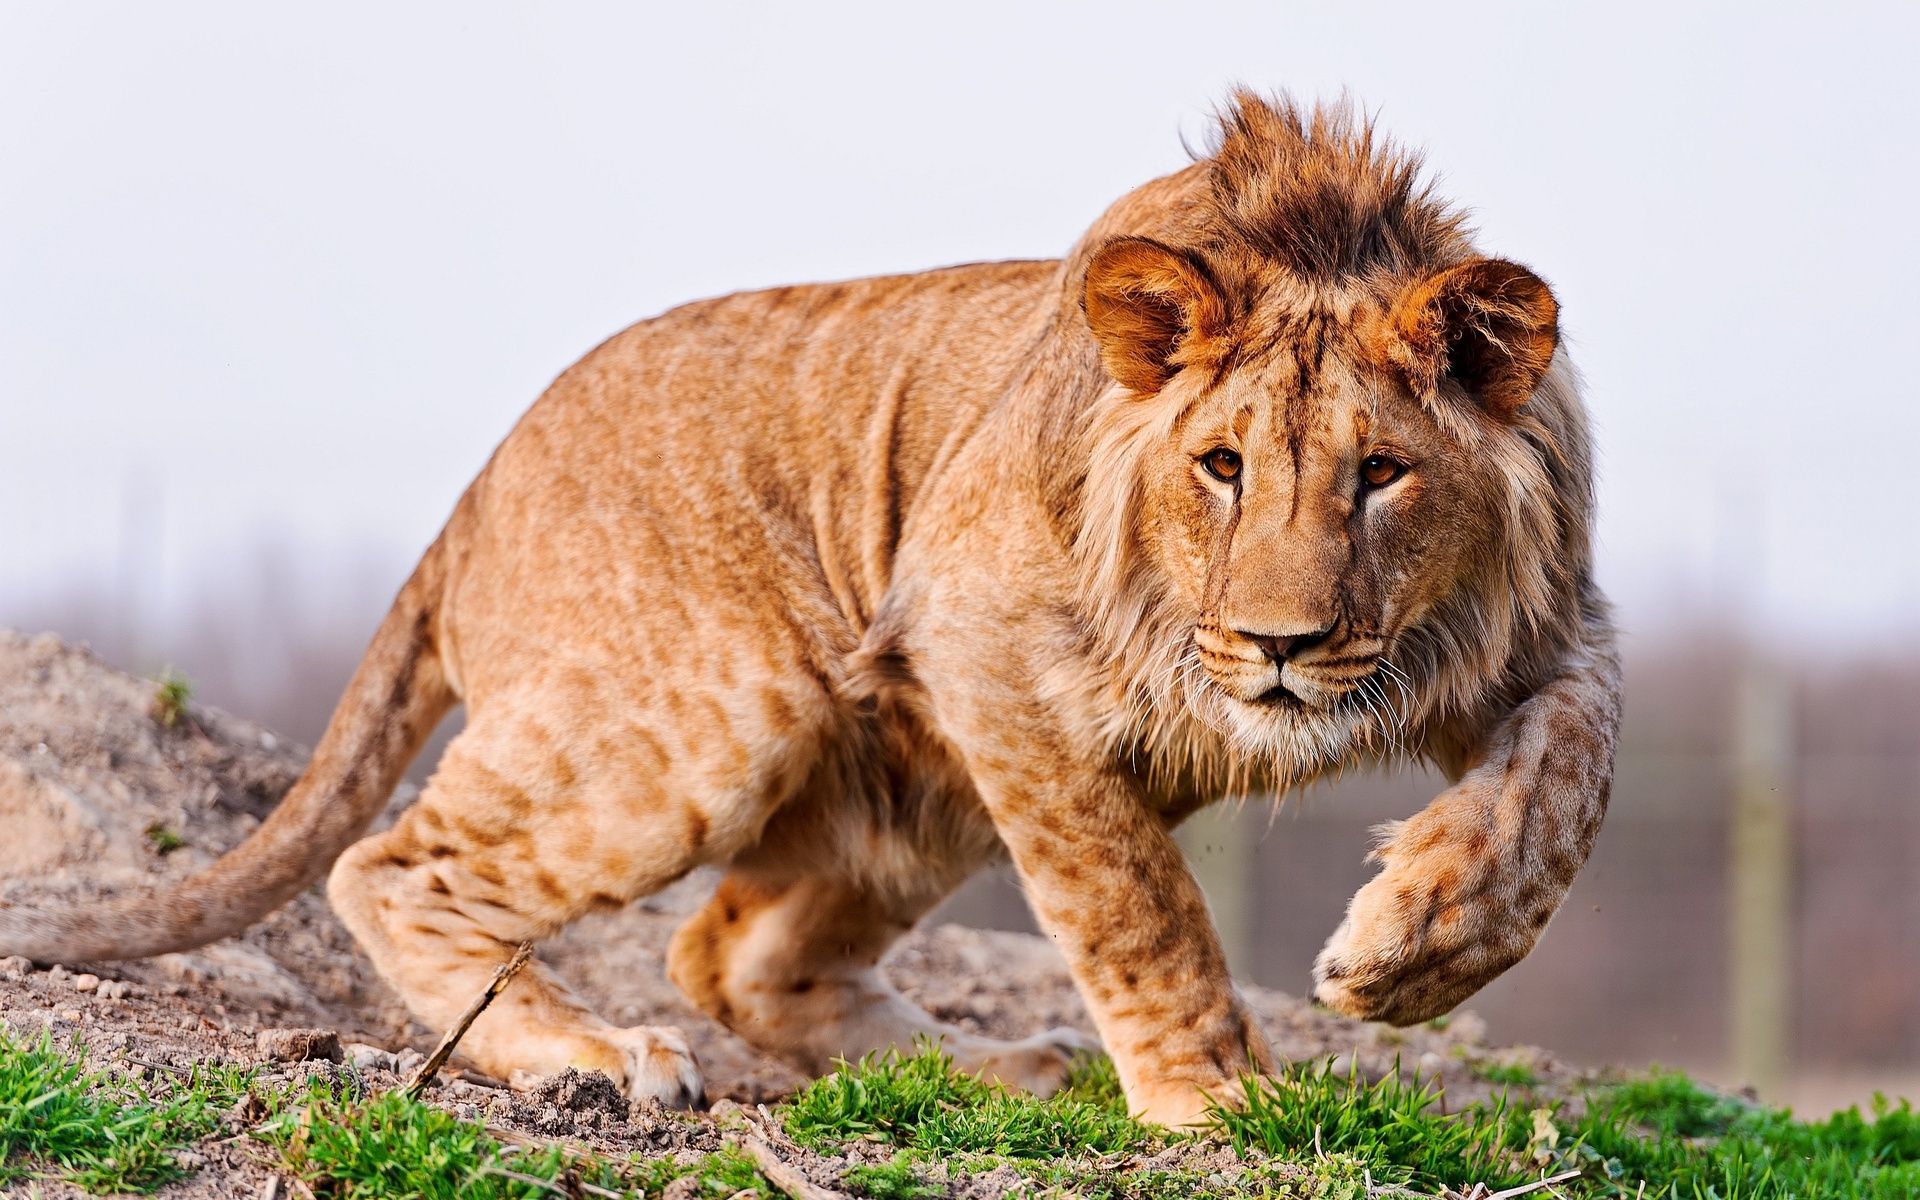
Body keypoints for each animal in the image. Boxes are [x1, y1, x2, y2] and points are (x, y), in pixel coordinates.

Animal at [0, 92, 1619, 1126]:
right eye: (1221, 468)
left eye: (1383, 475)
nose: (1284, 648)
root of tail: (478, 488)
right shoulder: (983, 637)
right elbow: (1137, 903)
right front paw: (1214, 1102)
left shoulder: (1544, 628)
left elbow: (1565, 786)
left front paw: (1413, 950)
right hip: (729, 710)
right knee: (397, 866)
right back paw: (595, 1056)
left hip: (915, 788)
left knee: (731, 954)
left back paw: (997, 1069)